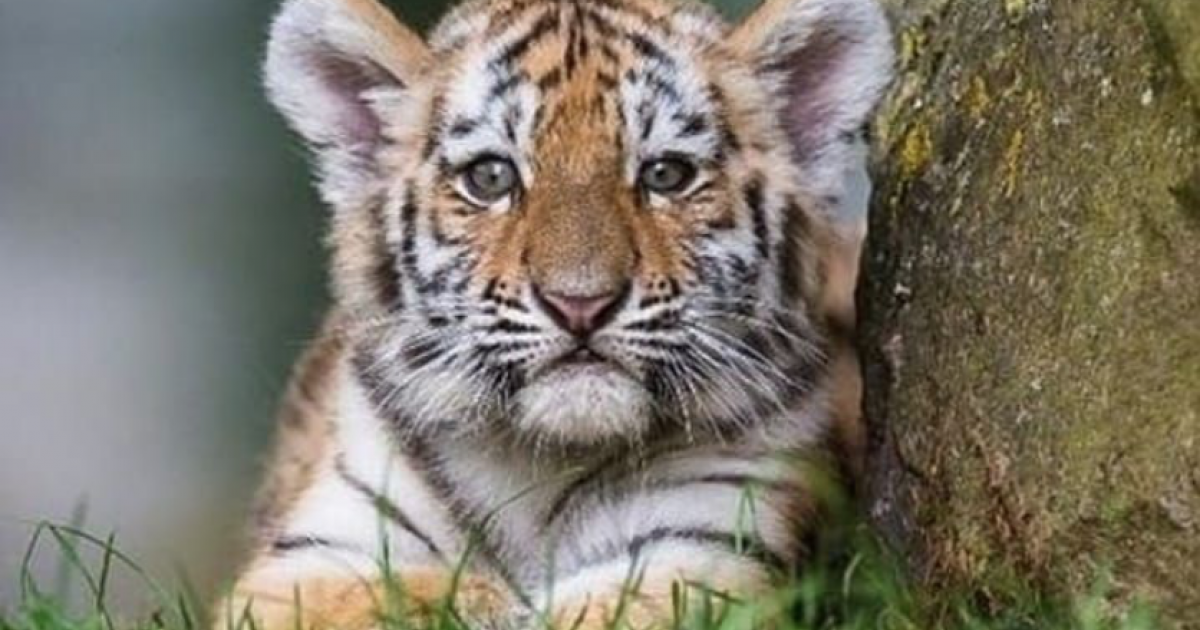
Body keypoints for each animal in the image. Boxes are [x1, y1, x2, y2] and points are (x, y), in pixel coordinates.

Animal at [219, 0, 893, 628]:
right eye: (490, 177)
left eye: (666, 174)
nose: (581, 303)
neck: (534, 468)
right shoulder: (311, 558)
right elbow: (378, 595)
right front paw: (480, 596)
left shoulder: (705, 546)